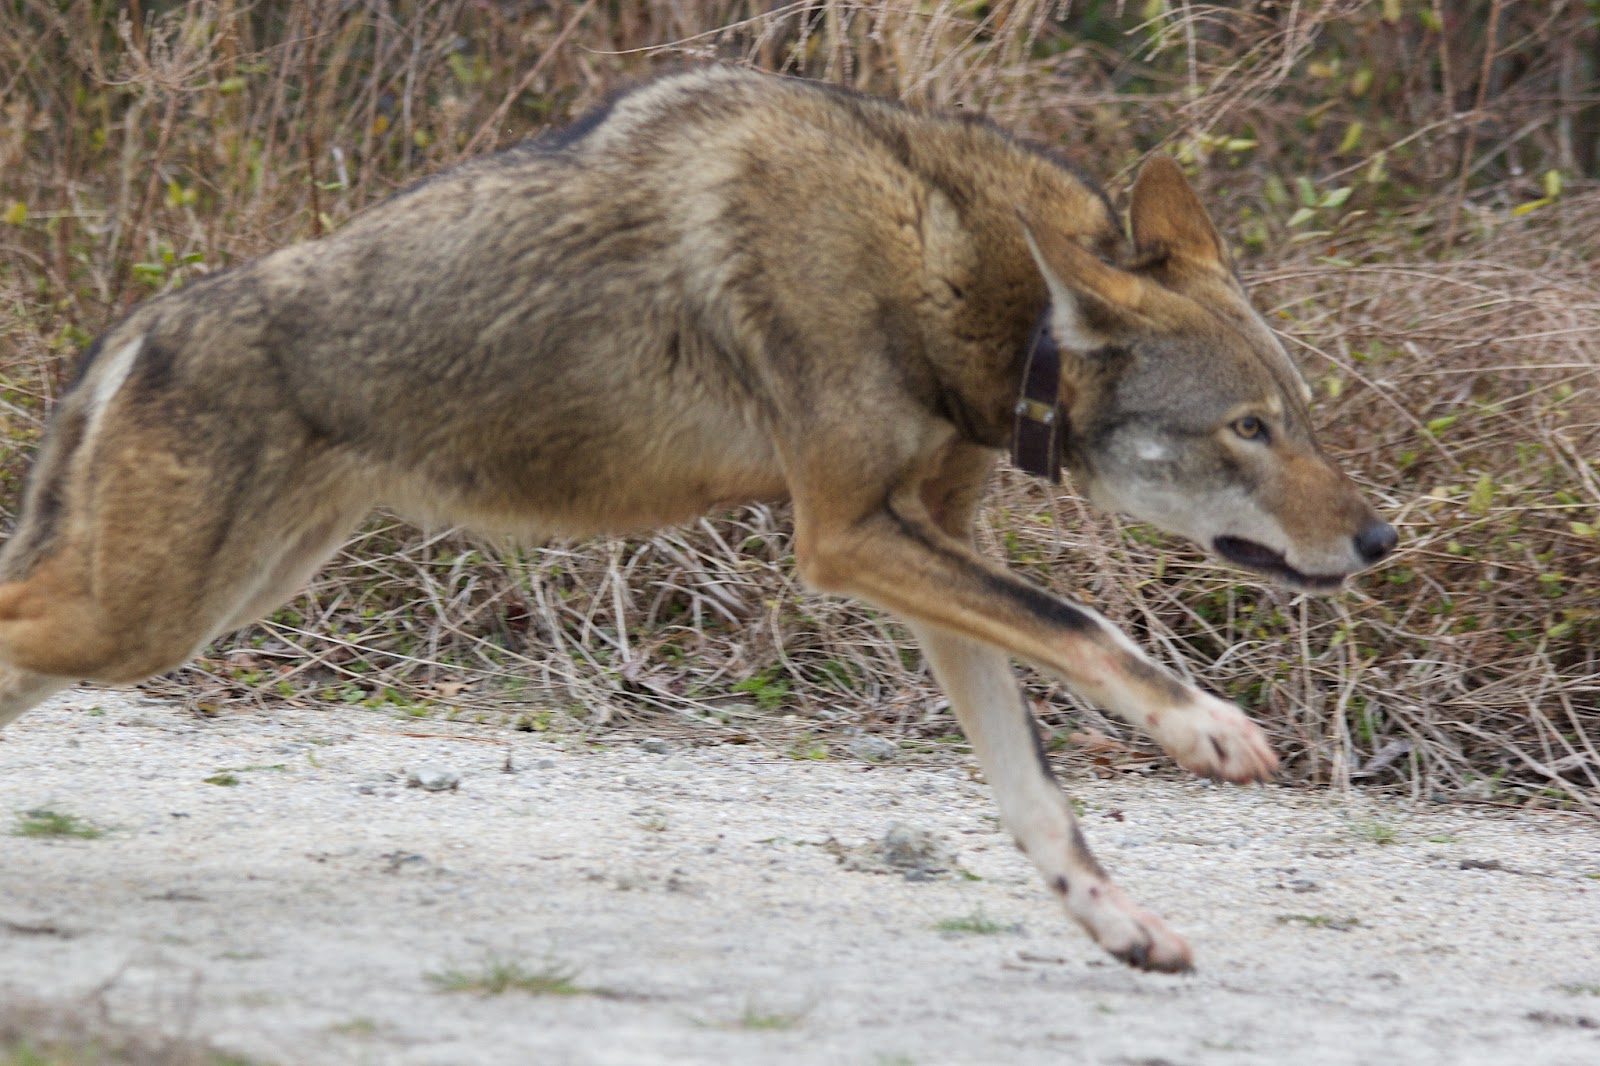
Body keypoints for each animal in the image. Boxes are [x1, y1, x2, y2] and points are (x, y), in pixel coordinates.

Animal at [0, 66, 1394, 971]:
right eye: (1248, 428)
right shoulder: (848, 537)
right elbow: (1094, 627)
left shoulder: (940, 547)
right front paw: (1210, 728)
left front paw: (1118, 926)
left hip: (202, 607)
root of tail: (139, 322)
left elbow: (1036, 790)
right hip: (145, 619)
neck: (949, 271)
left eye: (1301, 417)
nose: (1382, 540)